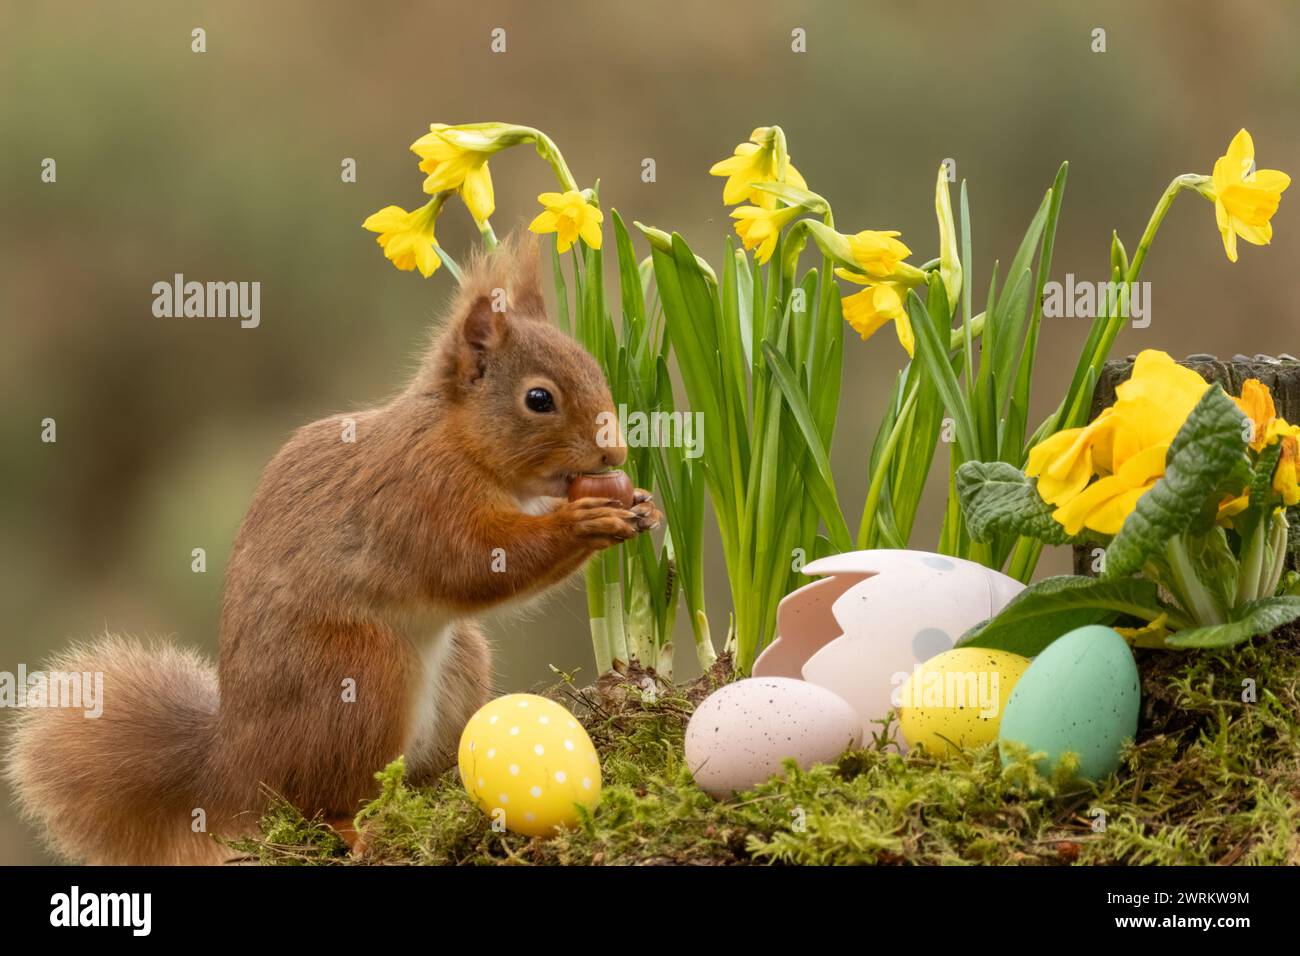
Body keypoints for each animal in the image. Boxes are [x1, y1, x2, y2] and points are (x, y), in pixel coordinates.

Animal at [4, 233, 661, 864]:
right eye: (539, 399)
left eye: (593, 366)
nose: (616, 454)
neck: (457, 440)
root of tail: (237, 765)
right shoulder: (419, 498)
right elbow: (475, 565)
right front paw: (585, 520)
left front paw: (644, 505)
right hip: (360, 674)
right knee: (319, 802)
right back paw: (355, 826)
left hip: (459, 661)